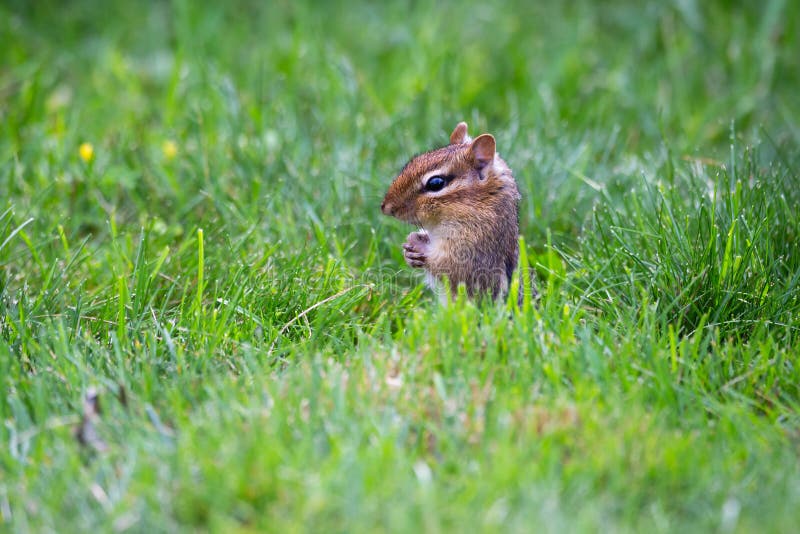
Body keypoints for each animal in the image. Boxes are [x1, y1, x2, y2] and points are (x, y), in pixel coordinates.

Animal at [381, 121, 530, 303]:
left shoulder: (474, 248)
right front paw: (410, 249)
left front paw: (417, 244)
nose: (386, 207)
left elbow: (451, 268)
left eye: (436, 183)